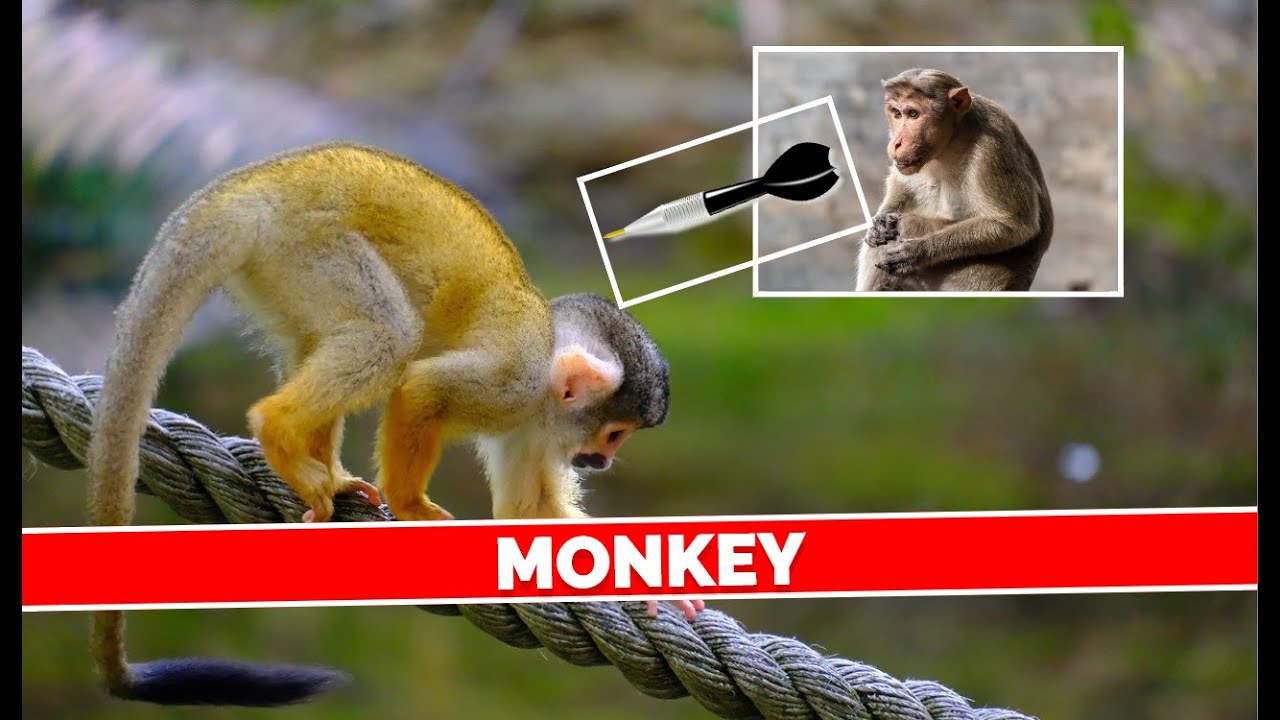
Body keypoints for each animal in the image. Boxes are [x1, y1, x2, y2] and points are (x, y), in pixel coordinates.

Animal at [85, 142, 702, 706]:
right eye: (614, 434)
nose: (603, 459)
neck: (547, 369)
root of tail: (253, 185)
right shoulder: (513, 381)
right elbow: (421, 389)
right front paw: (411, 507)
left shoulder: (531, 424)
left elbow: (527, 511)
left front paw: (655, 582)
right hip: (311, 244)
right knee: (389, 336)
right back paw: (279, 429)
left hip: (281, 267)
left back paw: (324, 472)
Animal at [855, 68, 1053, 292]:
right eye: (897, 113)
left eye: (913, 114)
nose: (896, 143)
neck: (954, 139)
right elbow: (901, 182)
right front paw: (881, 221)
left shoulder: (993, 149)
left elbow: (1015, 226)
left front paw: (918, 251)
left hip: (970, 280)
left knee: (908, 224)